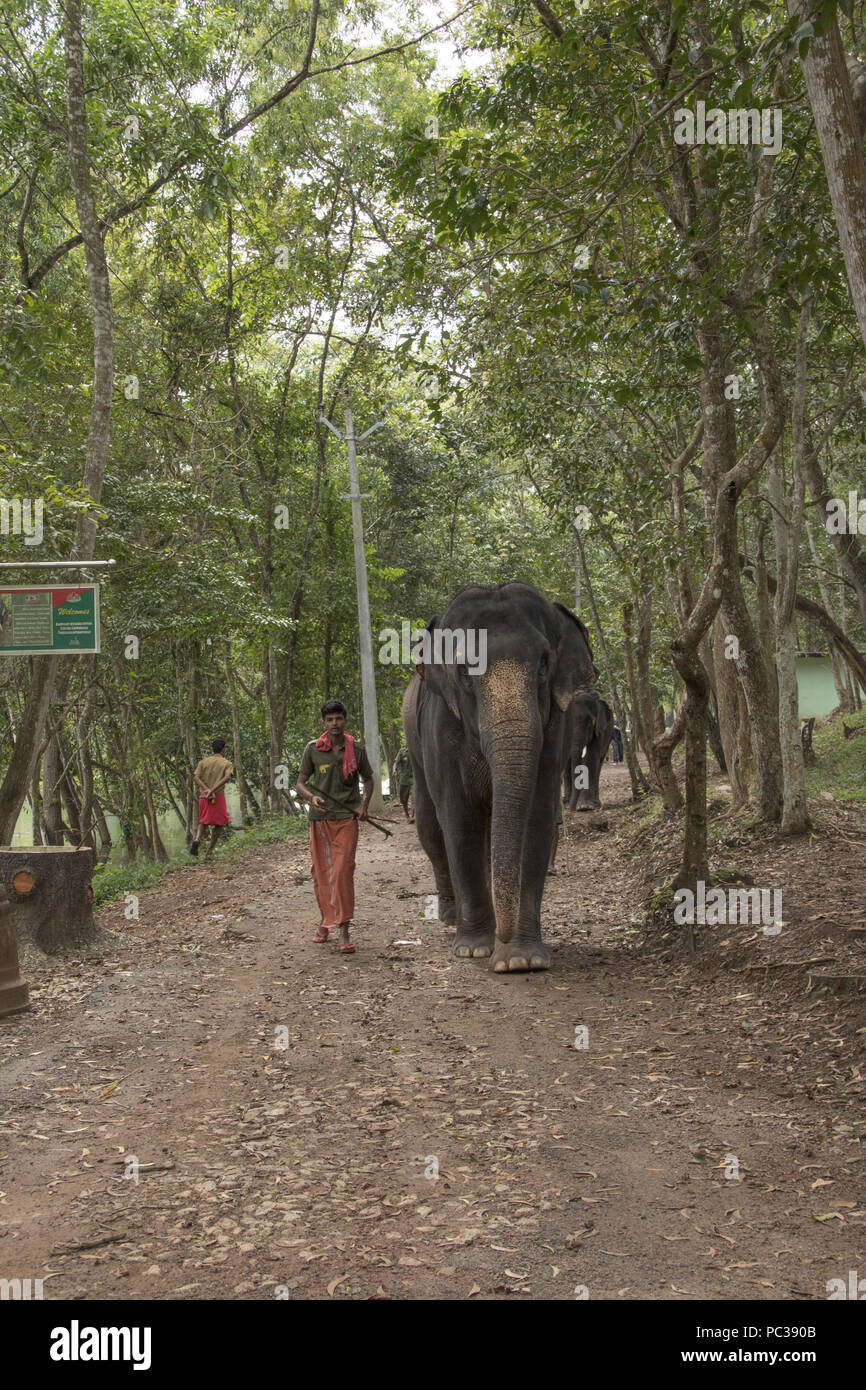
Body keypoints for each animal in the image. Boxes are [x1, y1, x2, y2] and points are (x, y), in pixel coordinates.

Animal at [402, 582, 596, 973]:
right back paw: (450, 916)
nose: (501, 939)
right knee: (430, 827)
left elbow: (536, 817)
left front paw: (521, 959)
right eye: (463, 671)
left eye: (544, 664)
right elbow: (459, 818)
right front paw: (474, 949)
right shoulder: (441, 724)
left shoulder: (555, 725)